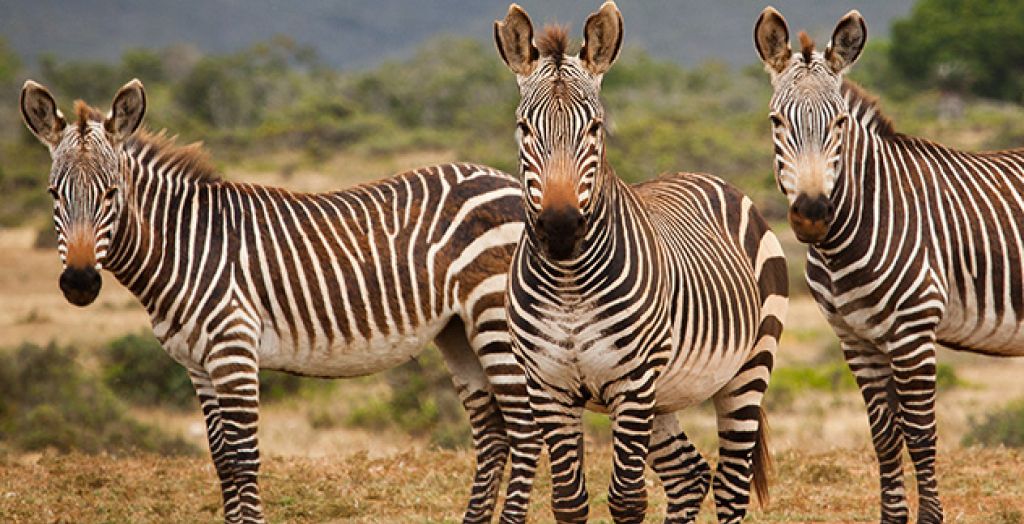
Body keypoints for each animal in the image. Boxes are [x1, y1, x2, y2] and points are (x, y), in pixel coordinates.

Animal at [19, 79, 542, 524]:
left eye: (111, 194)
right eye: (53, 194)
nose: (80, 283)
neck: (185, 245)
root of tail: (506, 180)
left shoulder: (232, 350)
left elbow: (244, 459)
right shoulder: (198, 366)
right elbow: (222, 461)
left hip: (494, 320)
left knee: (524, 429)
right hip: (458, 331)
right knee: (493, 435)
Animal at [495, 3, 789, 522]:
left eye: (595, 127)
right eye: (524, 129)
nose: (561, 227)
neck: (569, 283)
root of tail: (709, 176)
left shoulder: (631, 384)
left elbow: (627, 498)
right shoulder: (547, 387)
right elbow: (569, 501)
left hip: (748, 368)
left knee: (730, 486)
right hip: (664, 393)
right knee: (690, 475)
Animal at [754, 7, 1024, 523]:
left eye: (839, 122)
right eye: (776, 120)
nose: (812, 214)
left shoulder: (912, 332)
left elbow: (920, 436)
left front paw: (931, 517)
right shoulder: (856, 339)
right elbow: (883, 436)